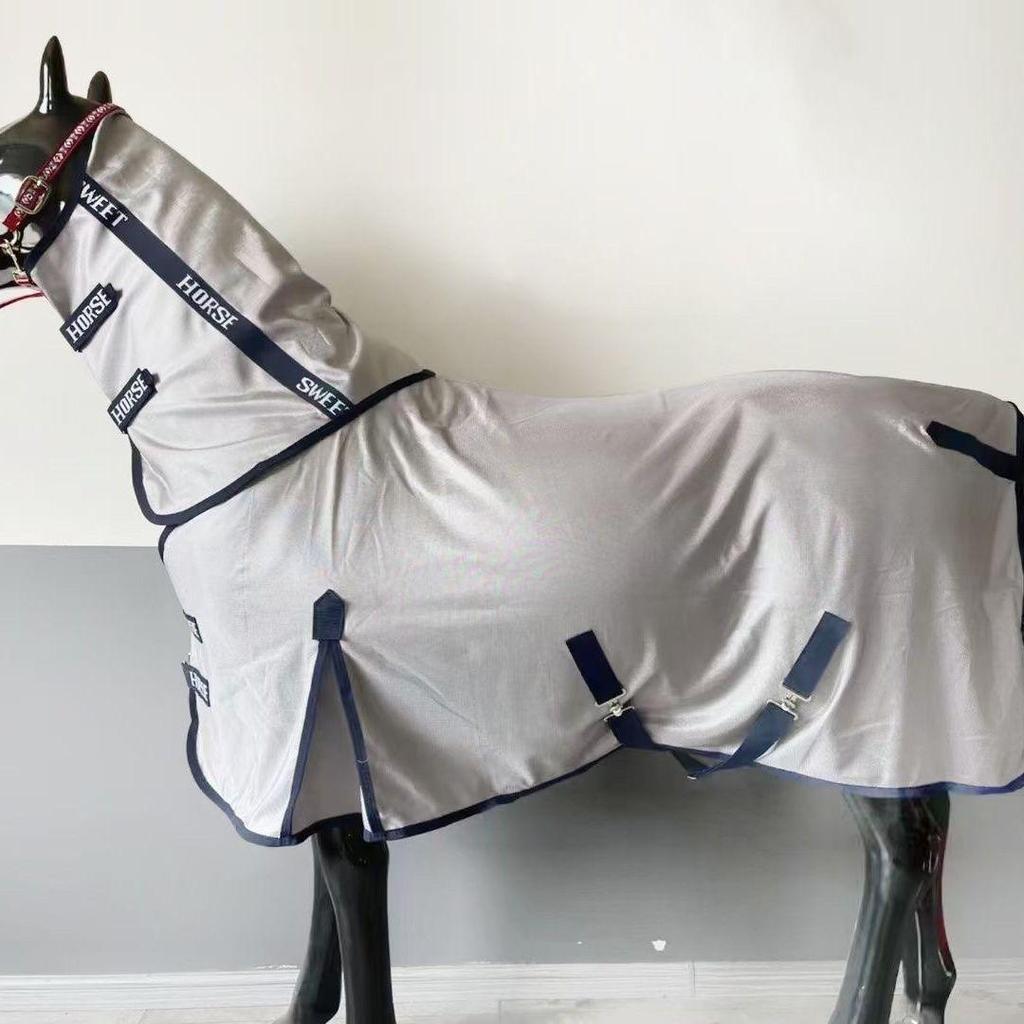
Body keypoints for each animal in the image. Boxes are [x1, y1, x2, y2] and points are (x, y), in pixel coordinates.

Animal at [10, 36, 1017, 1024]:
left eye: (5, 153)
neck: (282, 442)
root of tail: (954, 425)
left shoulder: (327, 742)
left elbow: (357, 962)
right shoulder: (315, 763)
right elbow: (318, 961)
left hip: (862, 717)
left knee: (895, 858)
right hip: (917, 730)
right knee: (926, 872)